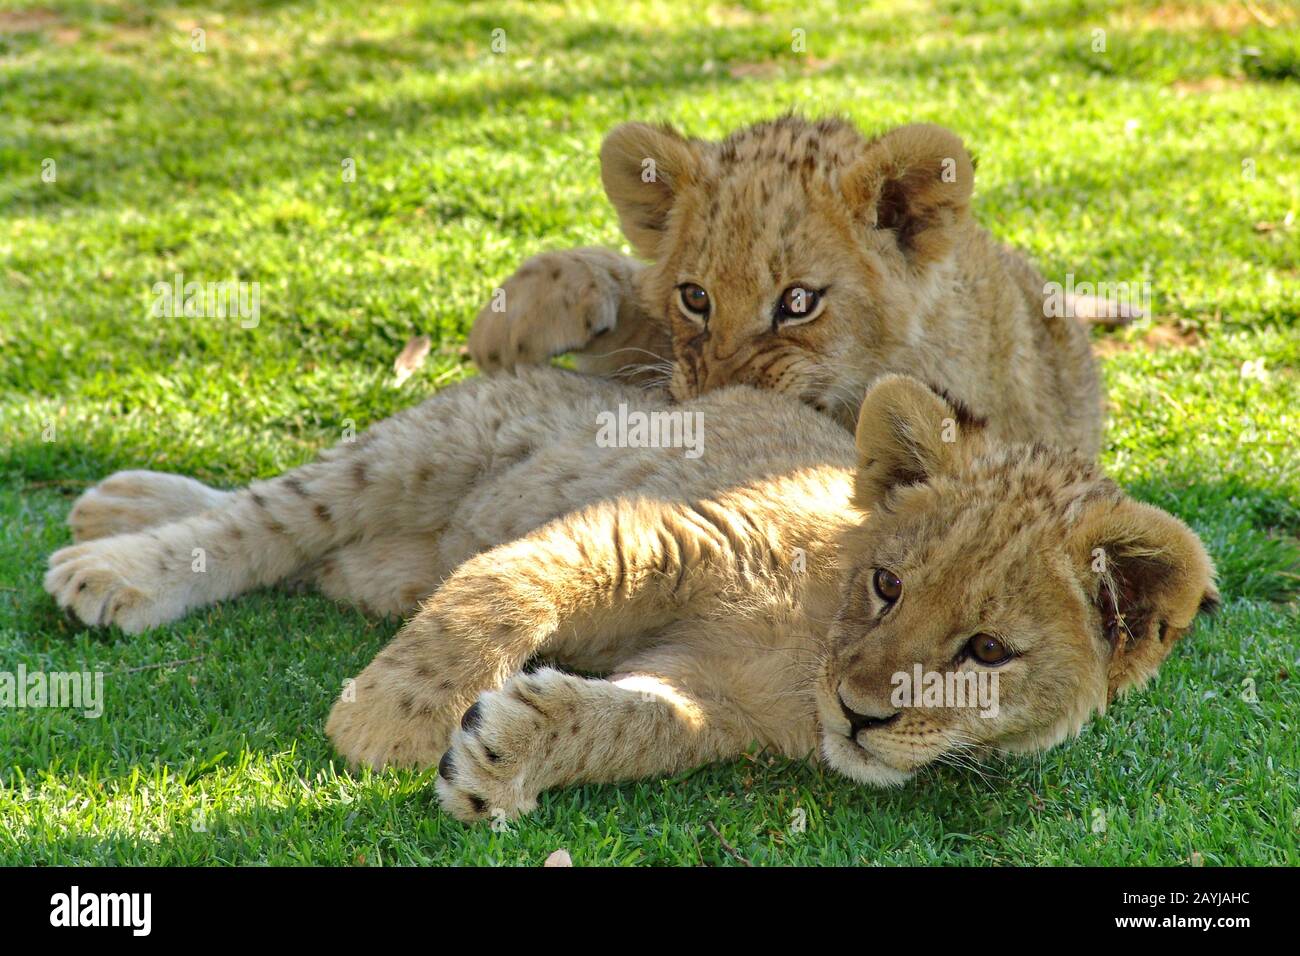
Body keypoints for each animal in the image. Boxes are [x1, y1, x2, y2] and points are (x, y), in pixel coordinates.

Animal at [46, 368, 1216, 822]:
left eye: (987, 653)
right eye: (888, 586)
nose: (860, 715)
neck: (807, 651)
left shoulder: (711, 707)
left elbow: (630, 726)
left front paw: (502, 754)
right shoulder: (671, 527)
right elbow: (509, 579)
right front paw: (396, 714)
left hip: (385, 562)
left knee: (318, 552)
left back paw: (117, 510)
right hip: (436, 442)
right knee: (269, 515)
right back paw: (116, 555)